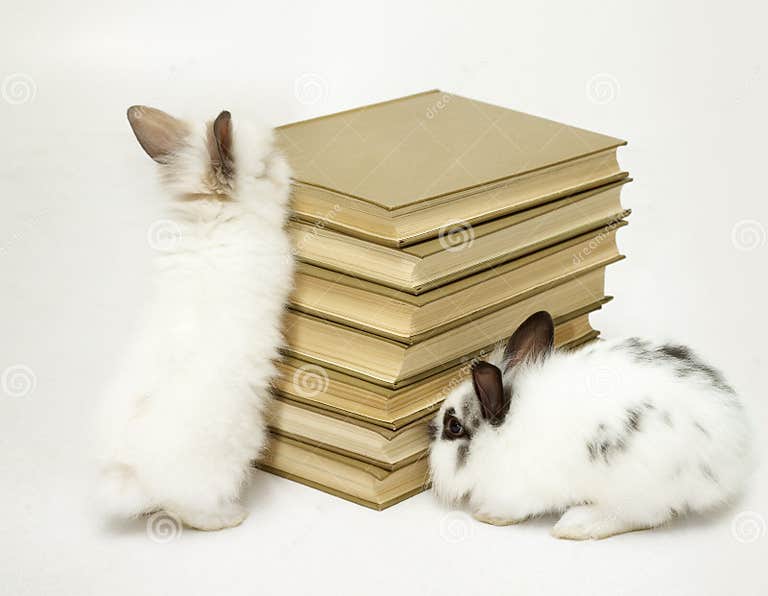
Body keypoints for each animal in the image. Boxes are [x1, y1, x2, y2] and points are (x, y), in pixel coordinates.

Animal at [96, 106, 293, 530]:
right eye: (266, 168)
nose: (291, 172)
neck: (214, 216)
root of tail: (135, 474)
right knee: (187, 509)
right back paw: (232, 518)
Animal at [428, 311, 753, 540]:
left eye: (453, 427)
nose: (429, 433)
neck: (502, 432)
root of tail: (733, 453)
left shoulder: (518, 492)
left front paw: (486, 516)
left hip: (636, 487)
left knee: (647, 516)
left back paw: (575, 525)